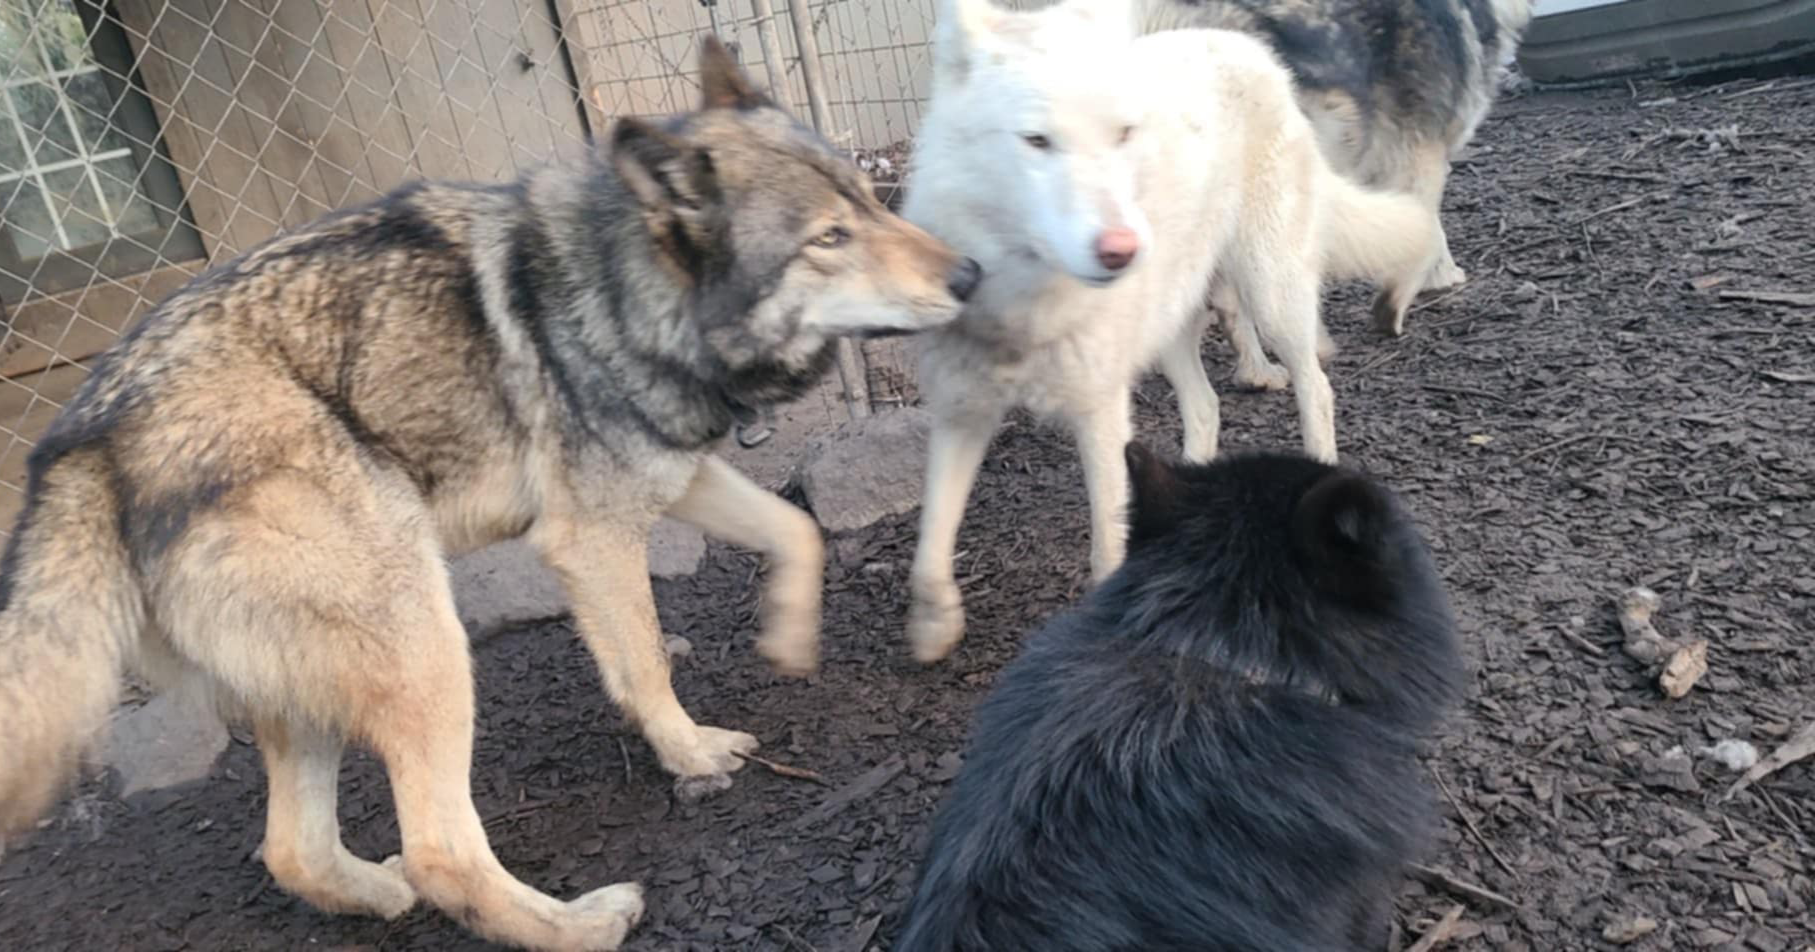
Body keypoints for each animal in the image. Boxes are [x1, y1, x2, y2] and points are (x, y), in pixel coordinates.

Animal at [0, 36, 977, 952]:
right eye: (827, 238)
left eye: (865, 197)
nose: (968, 275)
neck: (620, 290)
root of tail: (80, 445)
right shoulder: (591, 540)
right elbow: (646, 664)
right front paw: (691, 754)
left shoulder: (670, 475)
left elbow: (795, 530)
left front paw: (790, 636)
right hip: (428, 649)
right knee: (441, 849)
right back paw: (584, 923)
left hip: (312, 692)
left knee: (294, 851)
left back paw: (384, 893)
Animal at [901, 0, 1436, 662]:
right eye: (1037, 141)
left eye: (1122, 135)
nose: (1121, 250)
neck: (1022, 299)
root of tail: (1249, 51)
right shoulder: (961, 414)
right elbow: (930, 541)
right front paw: (932, 627)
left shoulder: (1100, 415)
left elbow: (1106, 544)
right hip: (1171, 332)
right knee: (1205, 408)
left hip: (1271, 293)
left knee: (1316, 388)